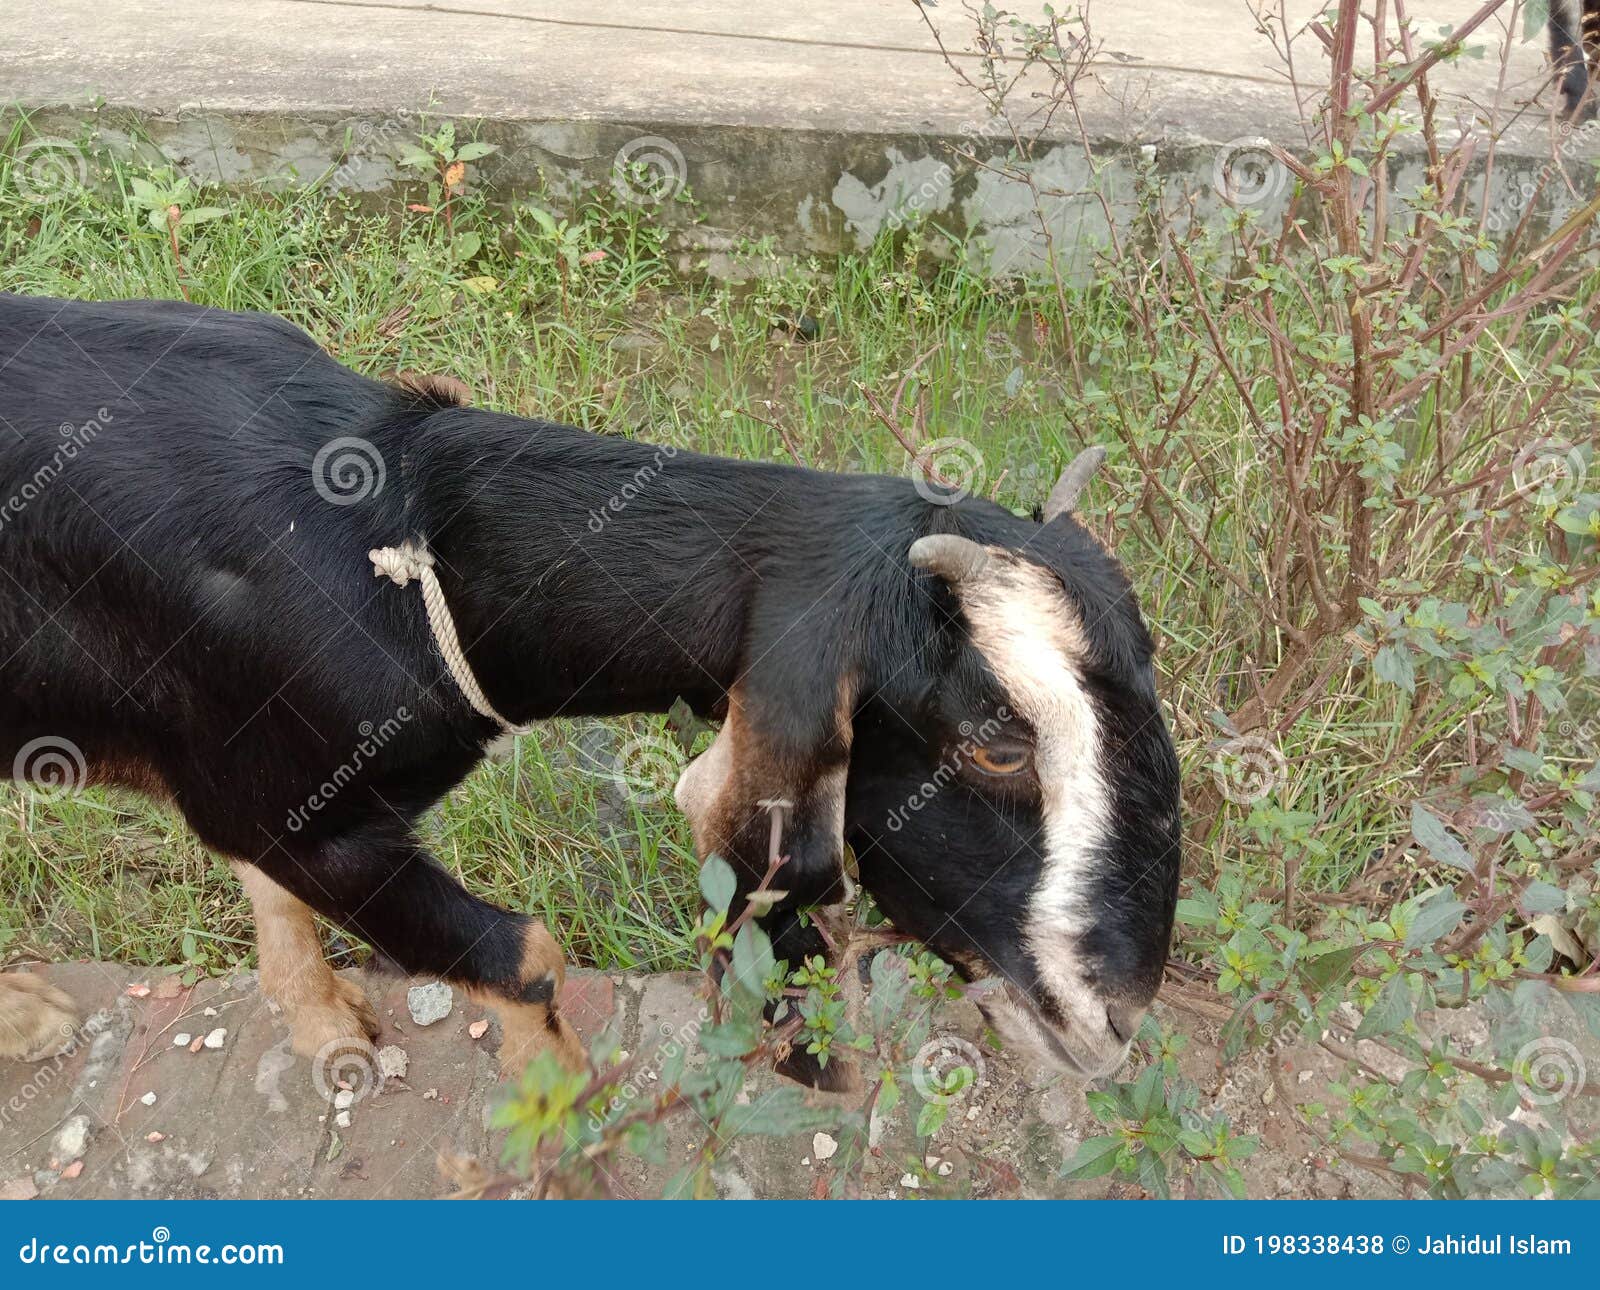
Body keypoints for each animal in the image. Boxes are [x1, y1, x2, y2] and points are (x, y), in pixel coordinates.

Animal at [0, 295, 1182, 1087]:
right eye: (995, 743)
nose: (1119, 1019)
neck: (397, 536)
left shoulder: (267, 796)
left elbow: (268, 889)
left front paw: (325, 1026)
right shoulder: (298, 814)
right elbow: (523, 955)